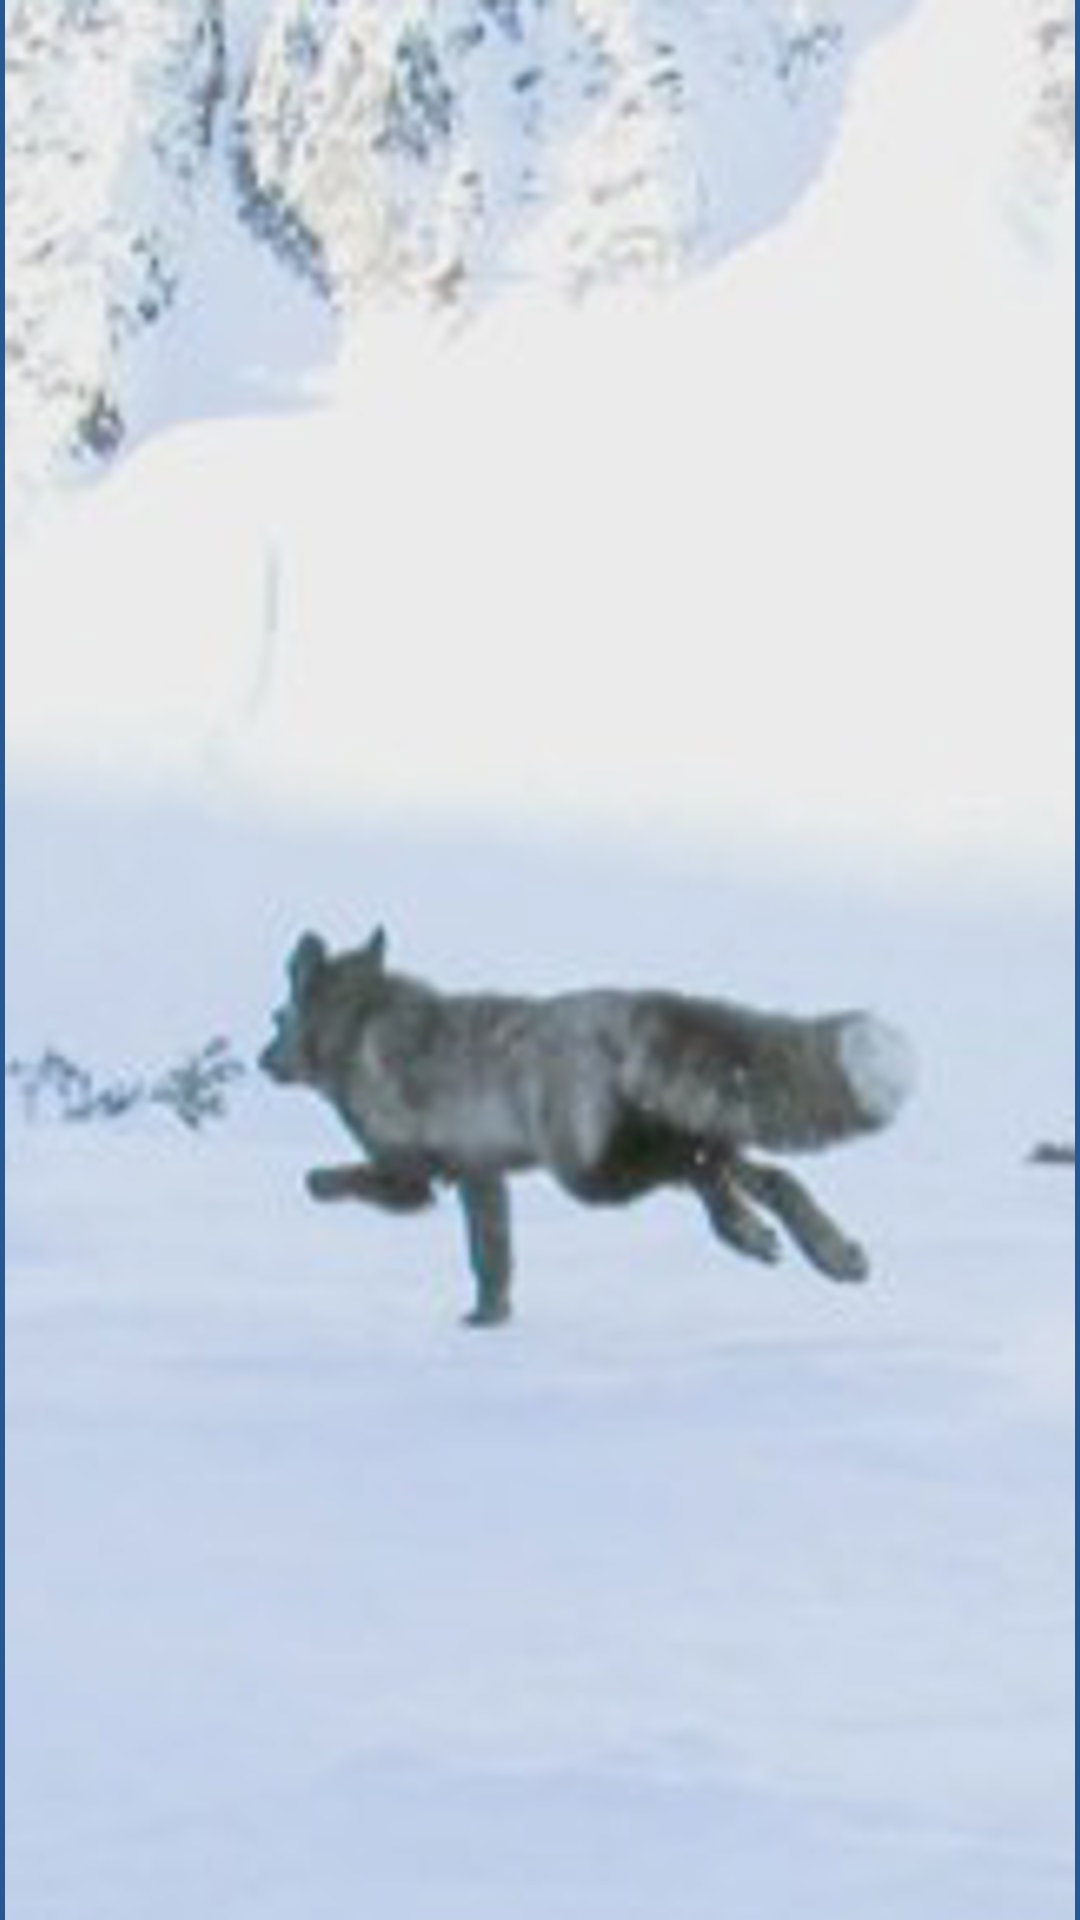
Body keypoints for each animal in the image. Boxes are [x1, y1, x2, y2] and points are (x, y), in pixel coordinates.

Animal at [259, 927, 914, 1326]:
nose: (262, 1062)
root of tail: (625, 1006)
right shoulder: (482, 1174)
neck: (358, 1027)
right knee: (758, 1171)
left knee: (705, 1169)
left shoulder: (413, 1175)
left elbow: (333, 1179)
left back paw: (752, 1233)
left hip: (590, 1174)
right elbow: (492, 1259)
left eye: (276, 1017)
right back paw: (824, 1251)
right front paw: (488, 1322)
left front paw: (316, 1185)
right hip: (659, 1131)